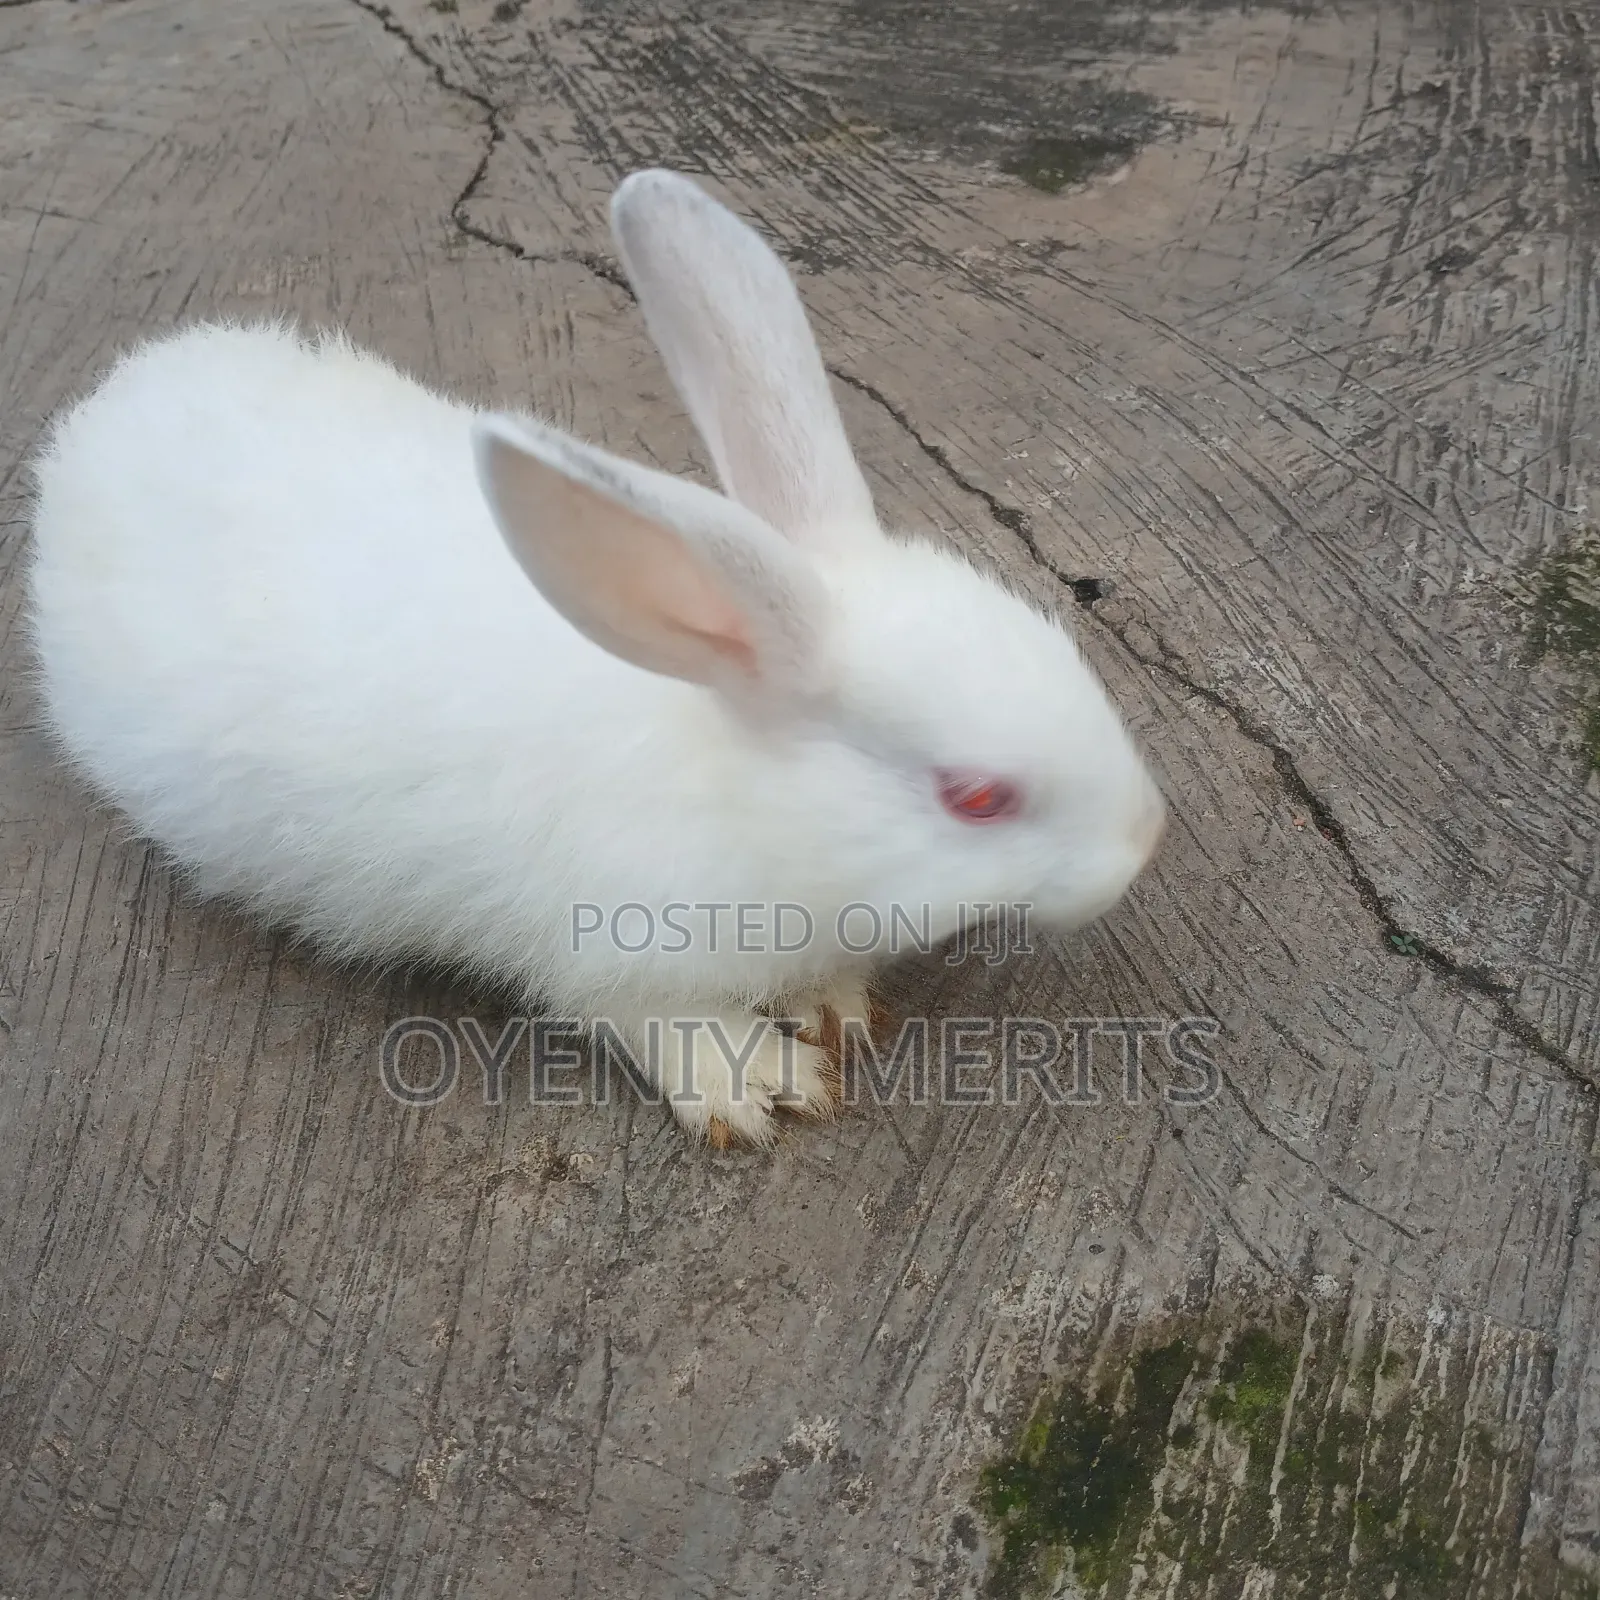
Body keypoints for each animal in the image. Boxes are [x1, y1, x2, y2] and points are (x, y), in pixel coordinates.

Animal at [27, 168, 1166, 1146]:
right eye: (976, 799)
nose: (1143, 838)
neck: (744, 792)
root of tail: (114, 402)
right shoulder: (606, 953)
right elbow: (653, 1018)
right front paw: (759, 1085)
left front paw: (832, 1008)